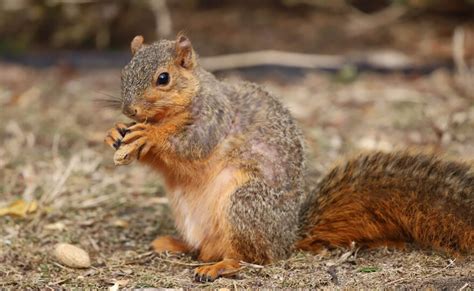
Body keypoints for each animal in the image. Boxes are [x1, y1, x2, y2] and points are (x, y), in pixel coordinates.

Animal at [104, 33, 474, 282]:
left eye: (163, 78)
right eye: (123, 73)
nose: (129, 110)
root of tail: (287, 237)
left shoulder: (214, 119)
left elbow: (191, 145)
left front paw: (150, 135)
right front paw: (115, 133)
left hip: (245, 203)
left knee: (253, 257)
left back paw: (220, 266)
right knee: (206, 247)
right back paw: (176, 244)